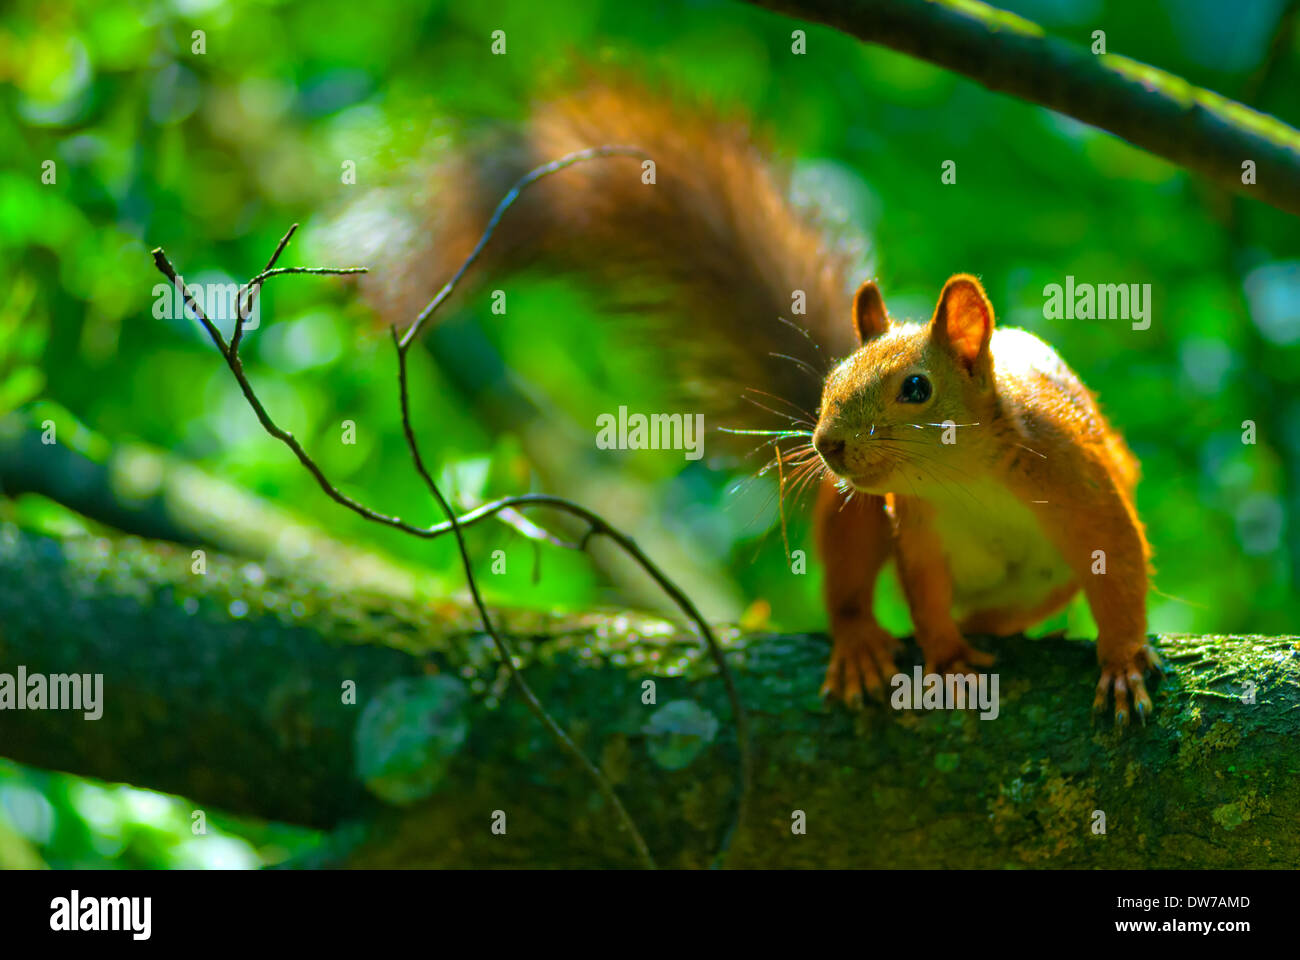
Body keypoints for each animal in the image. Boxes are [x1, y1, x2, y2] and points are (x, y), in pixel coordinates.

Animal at [341, 75, 1162, 725]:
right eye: (829, 384)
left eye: (917, 389)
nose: (828, 444)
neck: (965, 479)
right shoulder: (915, 523)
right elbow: (925, 594)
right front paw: (944, 655)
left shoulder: (1074, 475)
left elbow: (1120, 563)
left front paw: (1121, 661)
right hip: (855, 511)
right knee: (853, 582)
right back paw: (861, 642)